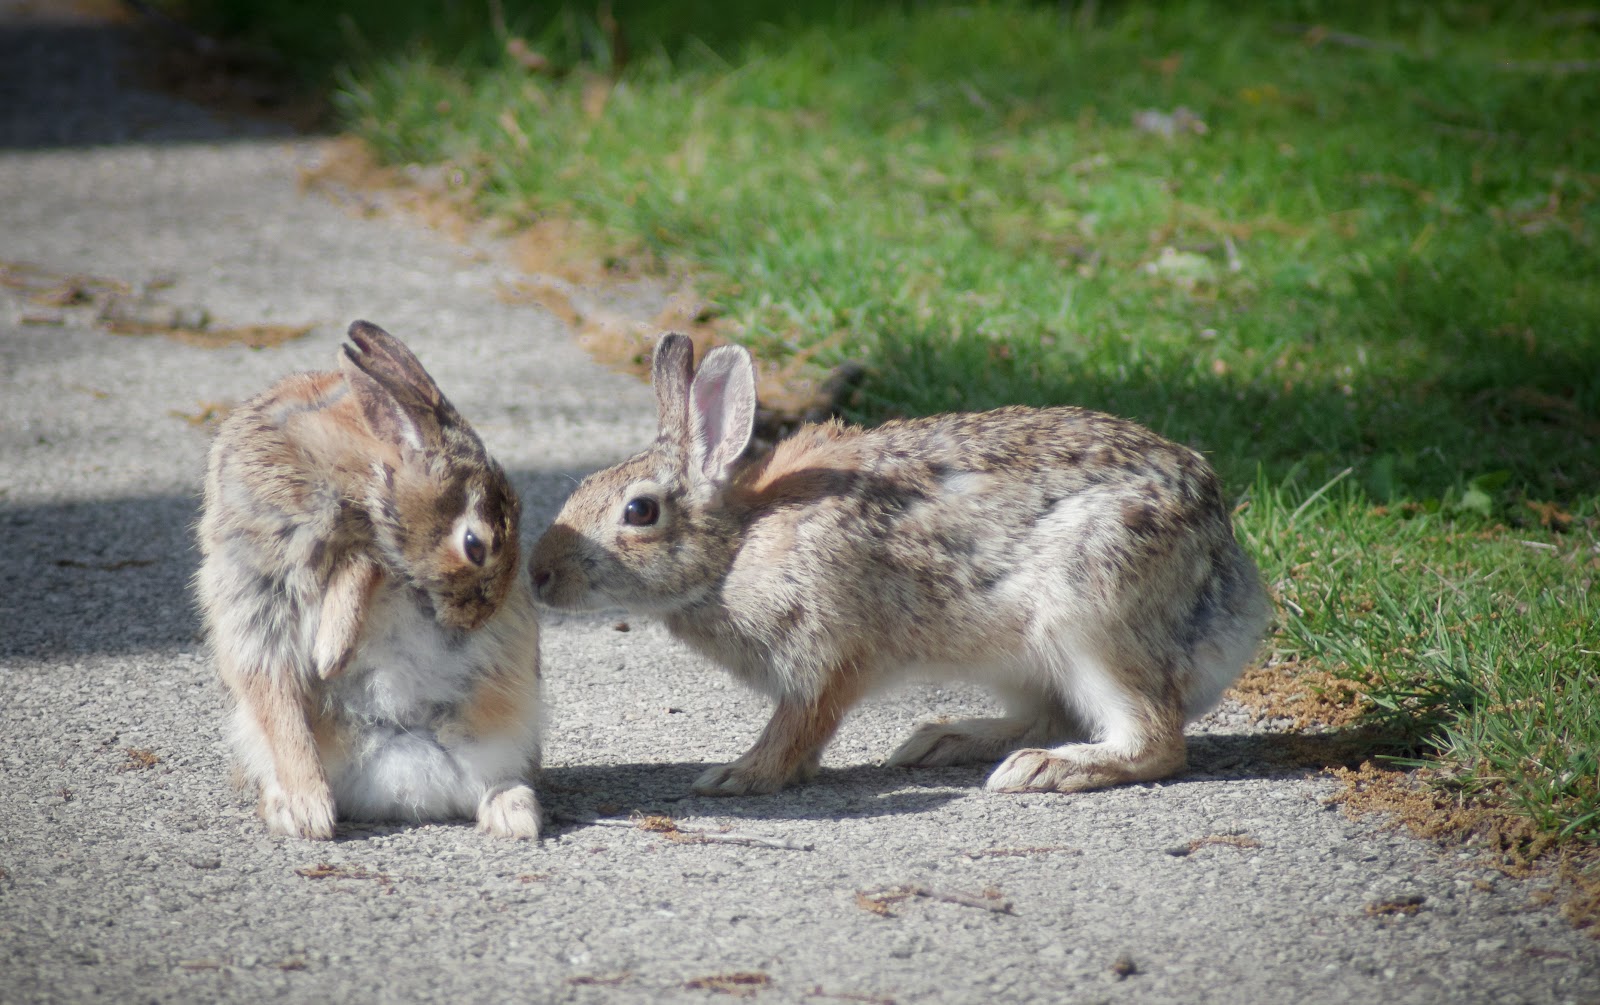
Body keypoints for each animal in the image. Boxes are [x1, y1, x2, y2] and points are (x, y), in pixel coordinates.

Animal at [196, 320, 543, 839]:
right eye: (475, 545)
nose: (480, 616)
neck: (362, 471)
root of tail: (405, 793)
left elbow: (367, 563)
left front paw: (330, 651)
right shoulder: (261, 597)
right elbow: (280, 700)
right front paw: (312, 810)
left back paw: (514, 812)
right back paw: (295, 810)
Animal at [531, 333, 1269, 797]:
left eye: (639, 512)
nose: (538, 575)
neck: (736, 547)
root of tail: (1235, 590)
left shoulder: (826, 654)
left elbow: (799, 724)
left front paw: (738, 776)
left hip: (1093, 614)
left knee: (1154, 740)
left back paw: (1041, 771)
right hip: (1025, 653)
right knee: (1052, 712)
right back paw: (942, 739)